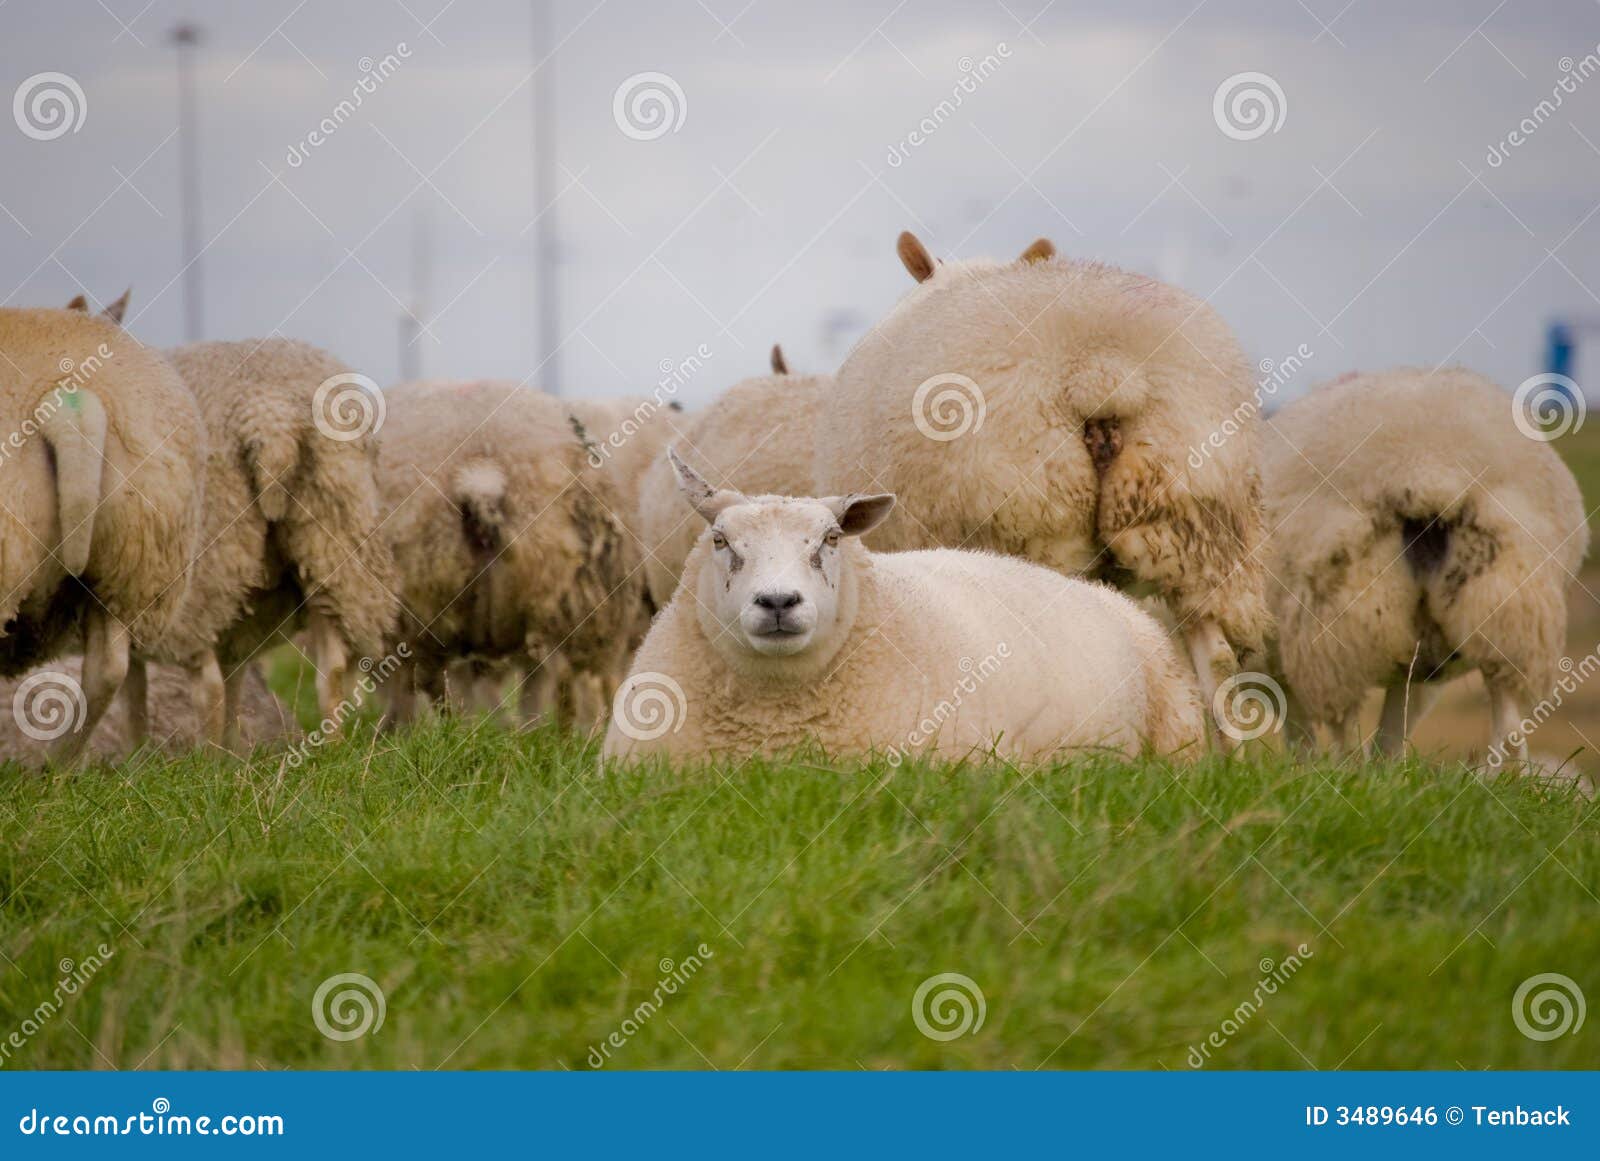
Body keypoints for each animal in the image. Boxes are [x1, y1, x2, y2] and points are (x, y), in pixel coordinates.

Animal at [1260, 366, 1589, 762]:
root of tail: (1427, 468)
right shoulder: (1423, 667)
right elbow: (1389, 732)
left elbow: (1302, 732)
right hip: (1510, 609)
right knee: (1510, 732)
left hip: (1337, 627)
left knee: (1344, 733)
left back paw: (1342, 770)